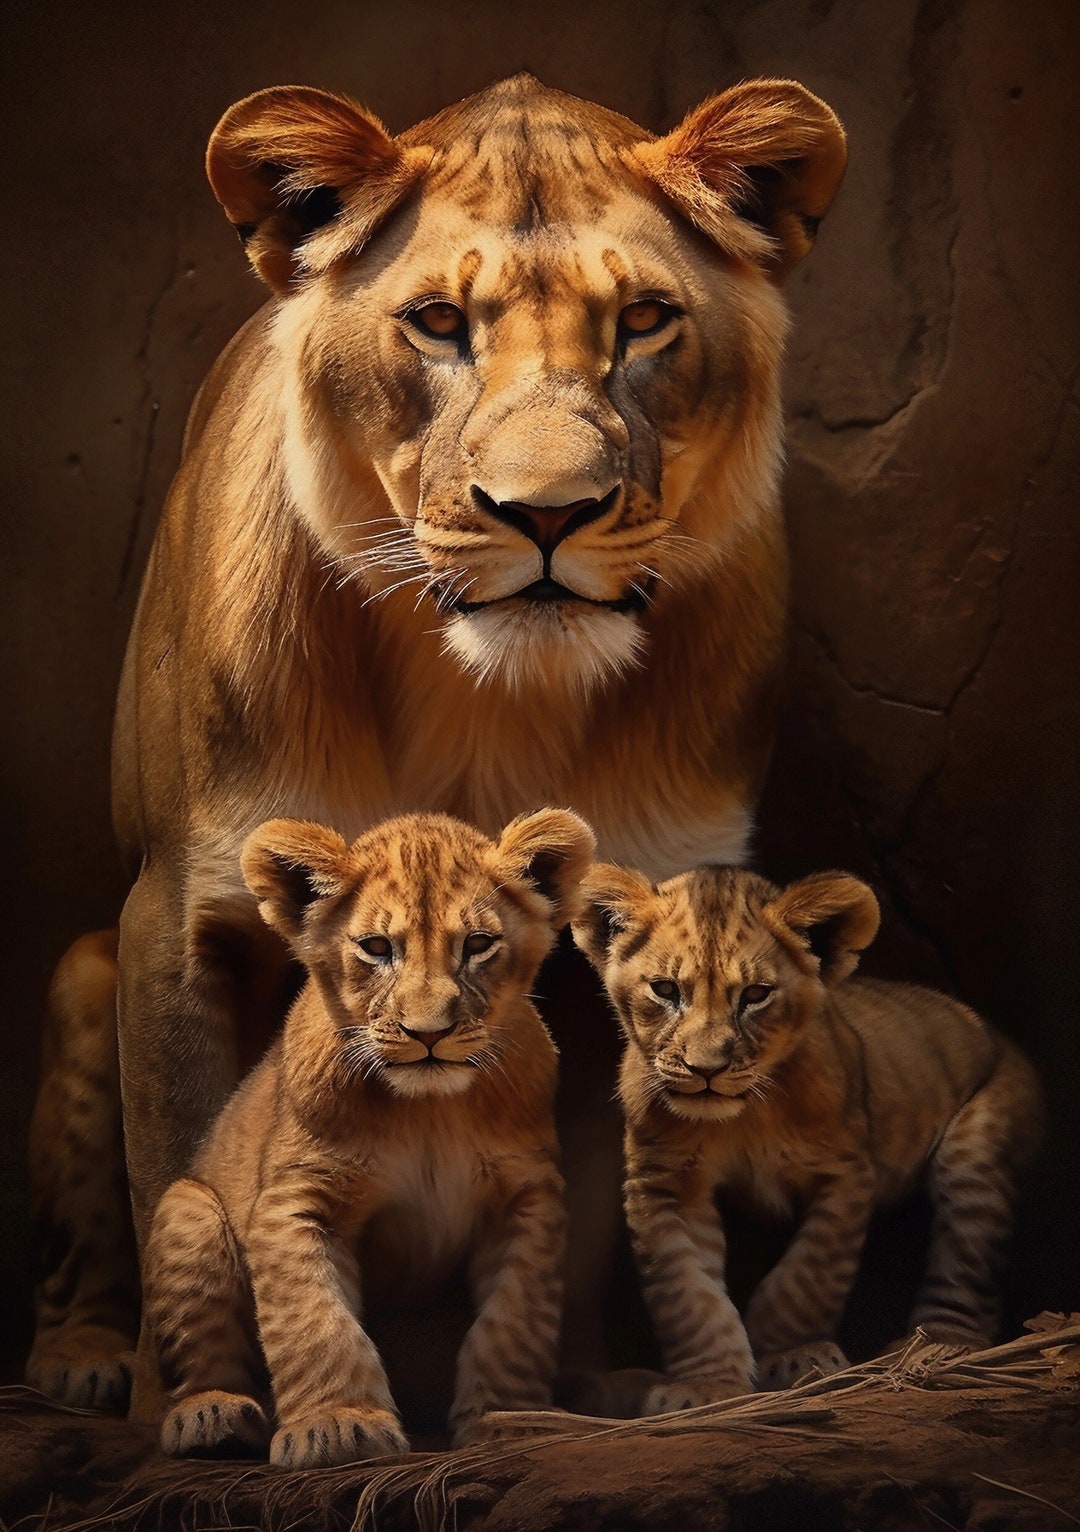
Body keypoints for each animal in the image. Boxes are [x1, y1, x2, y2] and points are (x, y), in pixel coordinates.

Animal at [25, 73, 846, 1411]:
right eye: (438, 322)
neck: (490, 699)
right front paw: (187, 1406)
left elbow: (583, 1199)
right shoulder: (178, 918)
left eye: (646, 320)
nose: (548, 513)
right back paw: (85, 1360)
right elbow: (180, 1174)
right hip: (85, 970)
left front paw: (566, 1385)